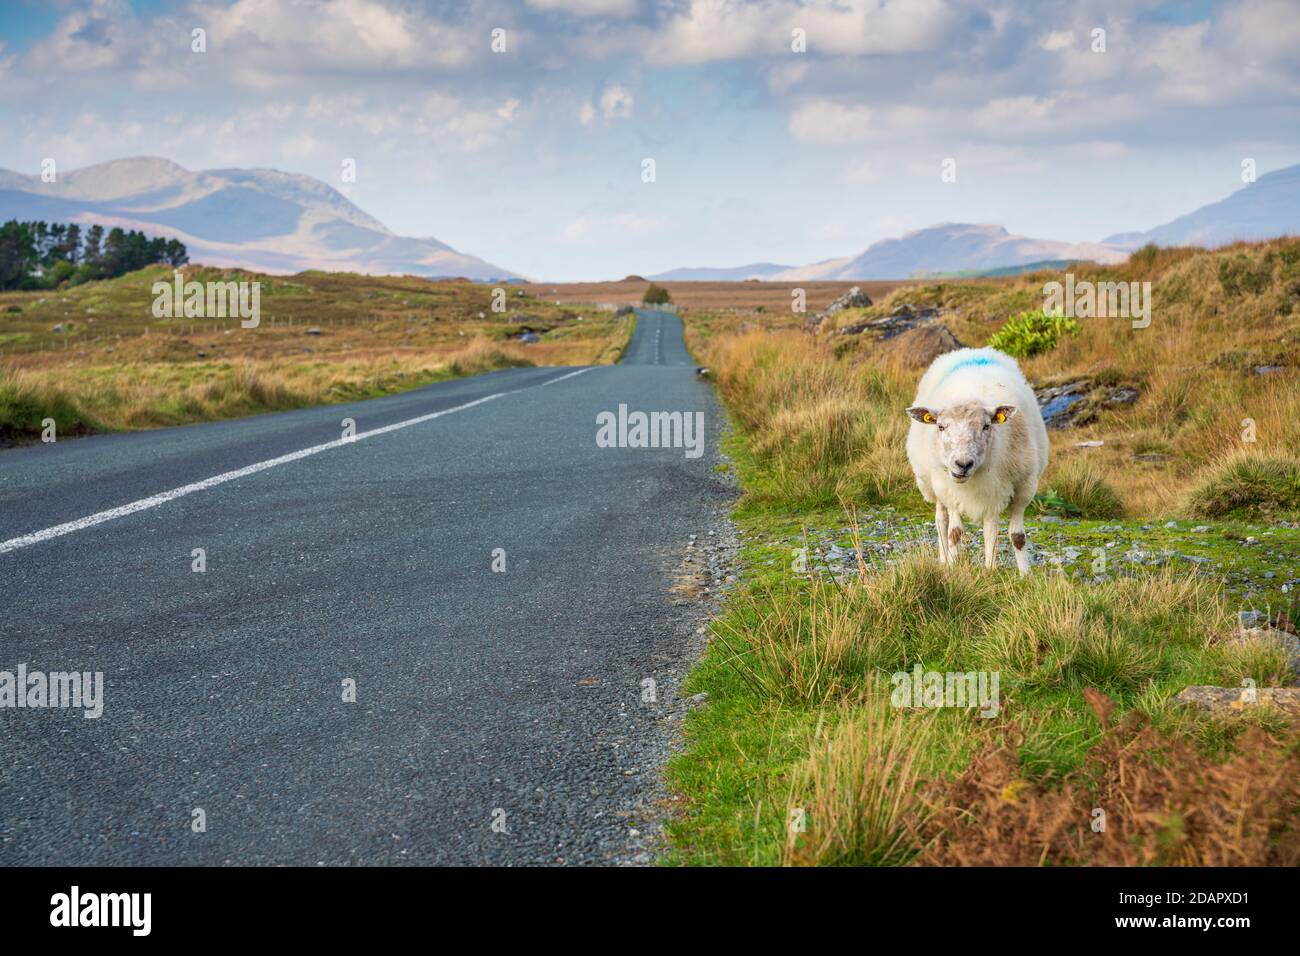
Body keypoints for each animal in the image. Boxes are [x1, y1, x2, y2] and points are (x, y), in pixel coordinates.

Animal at [905, 347, 1049, 575]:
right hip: (932, 485)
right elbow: (954, 533)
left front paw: (1019, 573)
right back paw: (944, 558)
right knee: (941, 521)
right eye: (941, 427)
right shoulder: (950, 491)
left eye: (986, 426)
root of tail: (970, 350)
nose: (962, 464)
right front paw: (953, 566)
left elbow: (1013, 536)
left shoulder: (1022, 487)